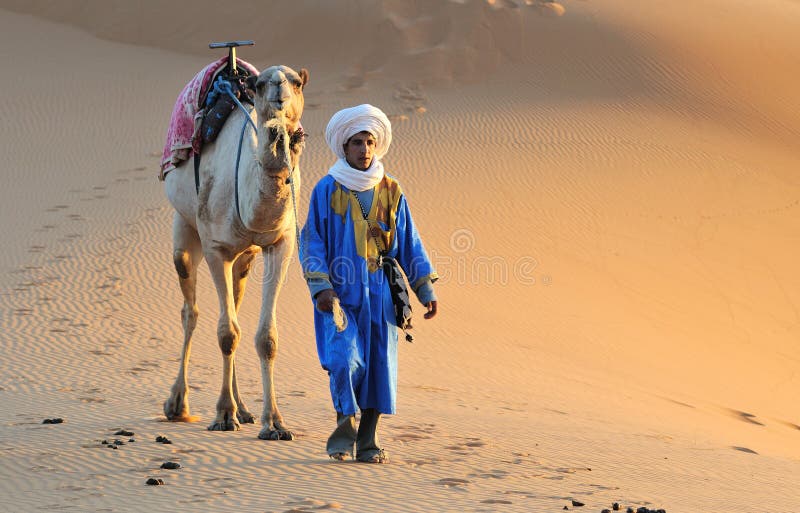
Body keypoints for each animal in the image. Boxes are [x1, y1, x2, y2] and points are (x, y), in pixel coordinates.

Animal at [162, 65, 308, 439]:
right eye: (261, 84)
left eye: (297, 82)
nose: (279, 91)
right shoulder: (216, 247)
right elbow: (226, 334)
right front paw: (223, 414)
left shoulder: (280, 244)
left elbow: (265, 337)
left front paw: (275, 423)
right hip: (184, 229)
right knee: (191, 311)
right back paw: (178, 403)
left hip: (246, 257)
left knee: (236, 307)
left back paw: (244, 408)